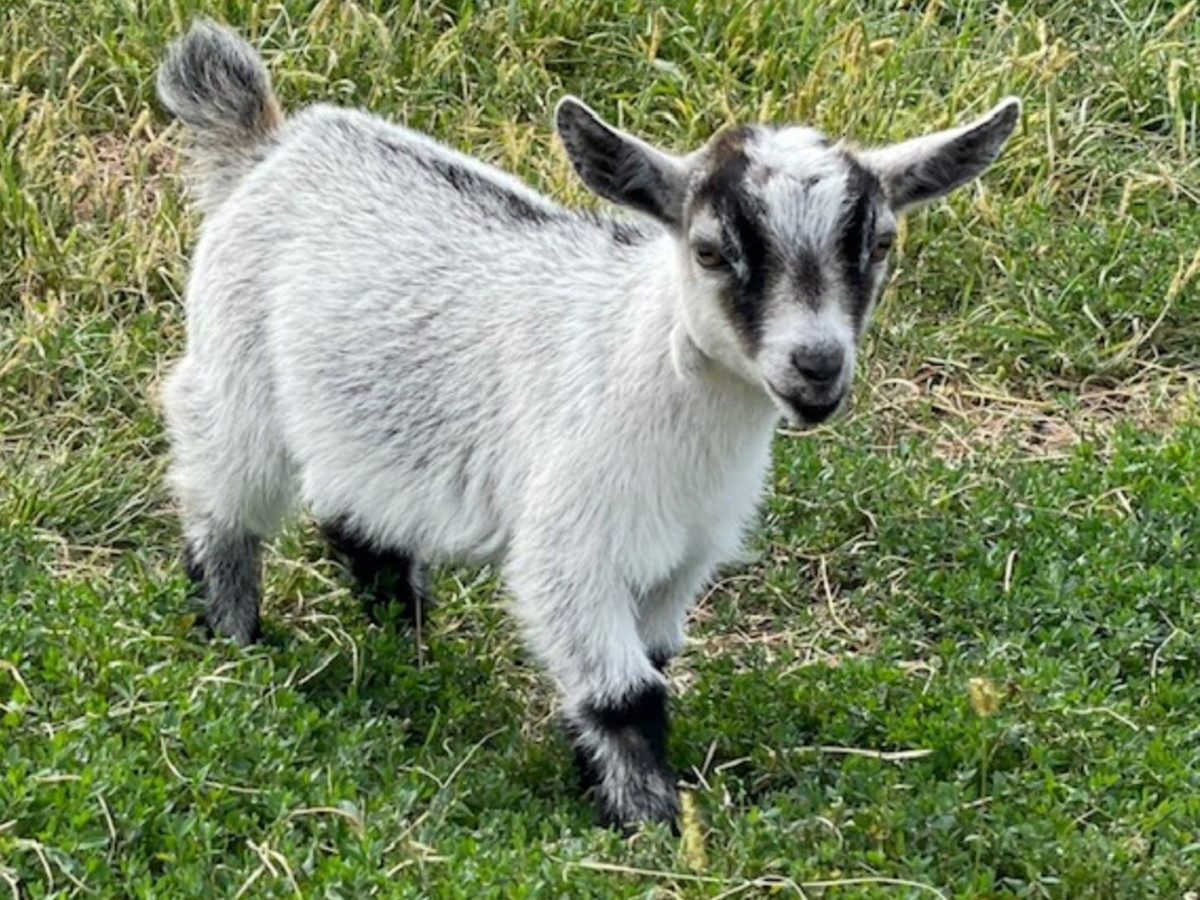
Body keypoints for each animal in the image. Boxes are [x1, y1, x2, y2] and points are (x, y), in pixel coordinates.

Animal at [157, 19, 1019, 828]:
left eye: (880, 244)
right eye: (711, 251)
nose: (817, 366)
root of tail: (269, 145)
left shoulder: (685, 560)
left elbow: (656, 662)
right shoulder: (572, 547)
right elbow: (625, 694)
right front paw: (652, 825)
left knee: (357, 509)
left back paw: (406, 644)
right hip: (237, 372)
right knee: (221, 493)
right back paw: (234, 637)